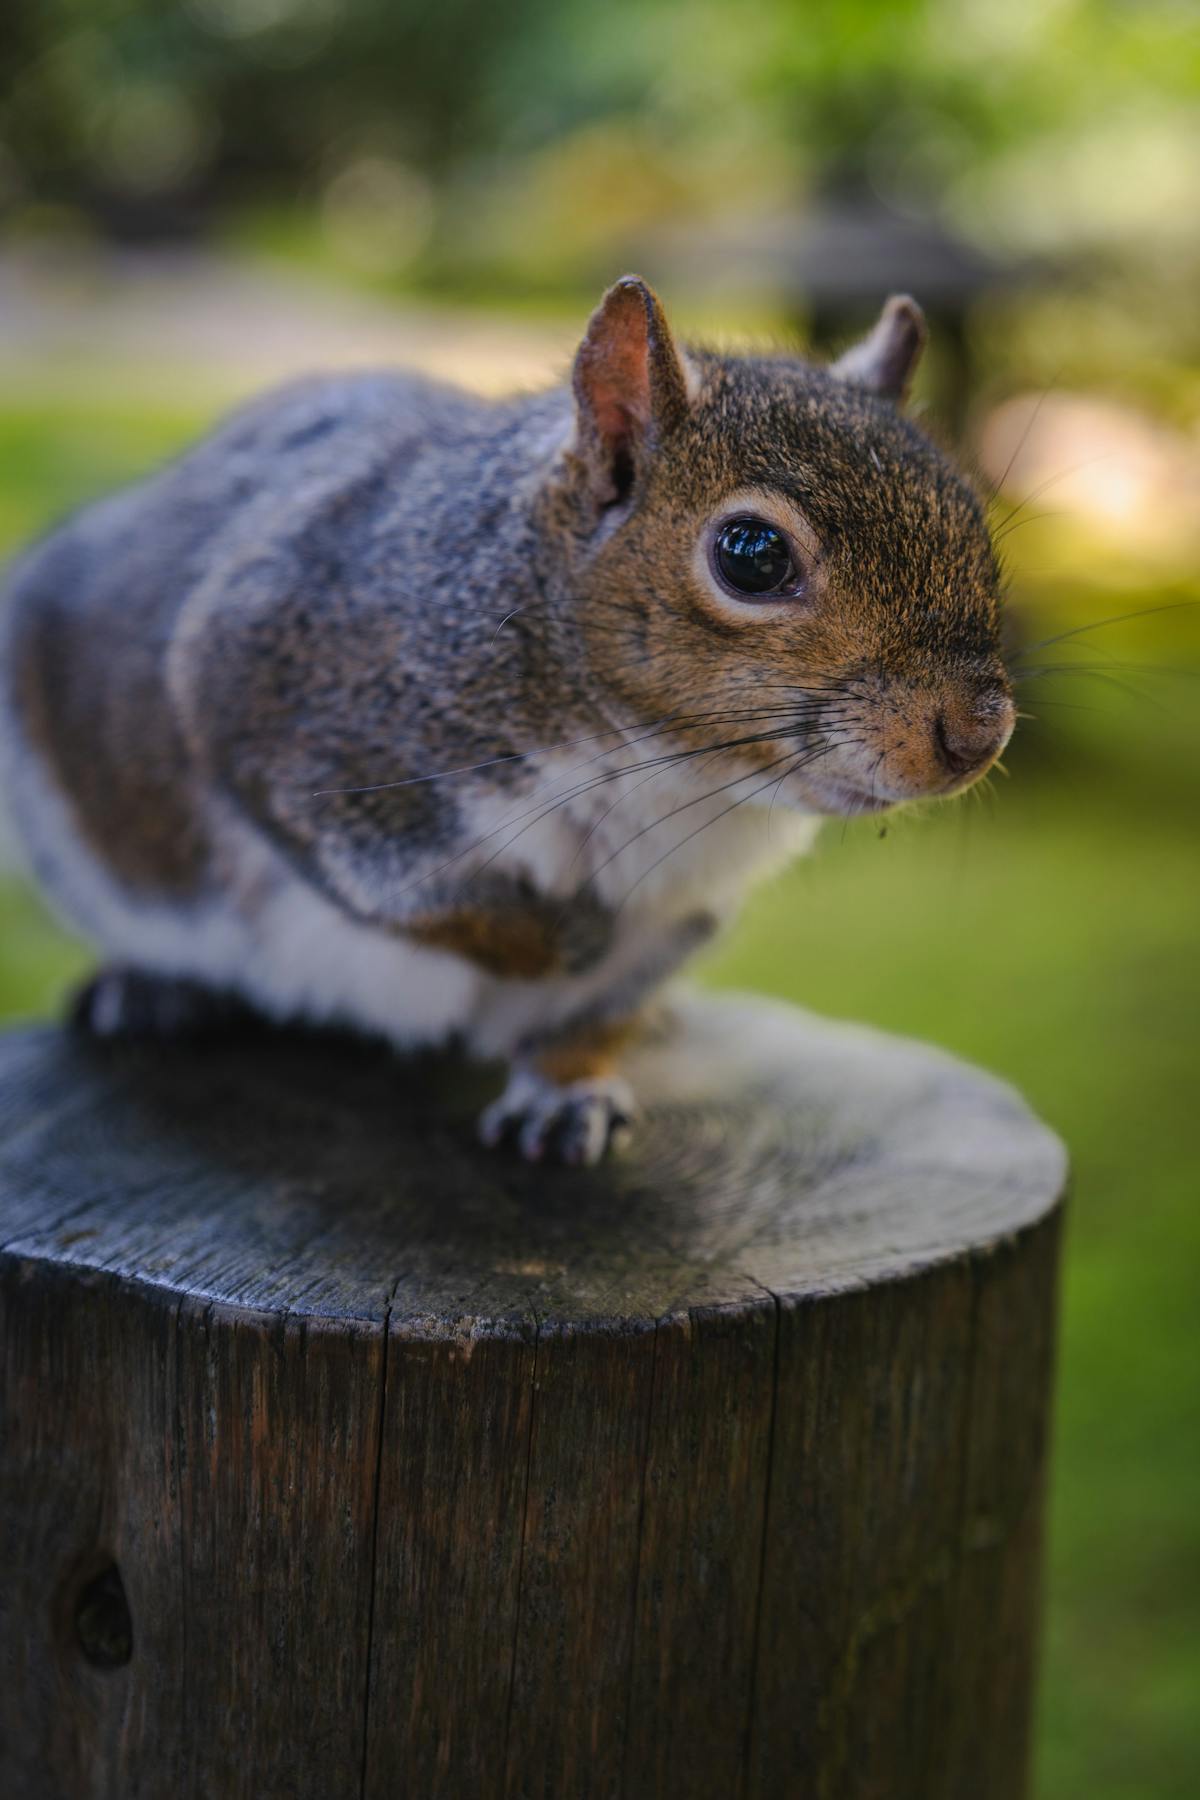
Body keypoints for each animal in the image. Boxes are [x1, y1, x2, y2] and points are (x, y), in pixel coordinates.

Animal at [0, 277, 1014, 1165]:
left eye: (969, 514)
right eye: (751, 554)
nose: (977, 734)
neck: (667, 773)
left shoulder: (678, 915)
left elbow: (590, 1013)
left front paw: (569, 1089)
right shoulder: (263, 693)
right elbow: (397, 885)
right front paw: (549, 938)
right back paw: (151, 987)